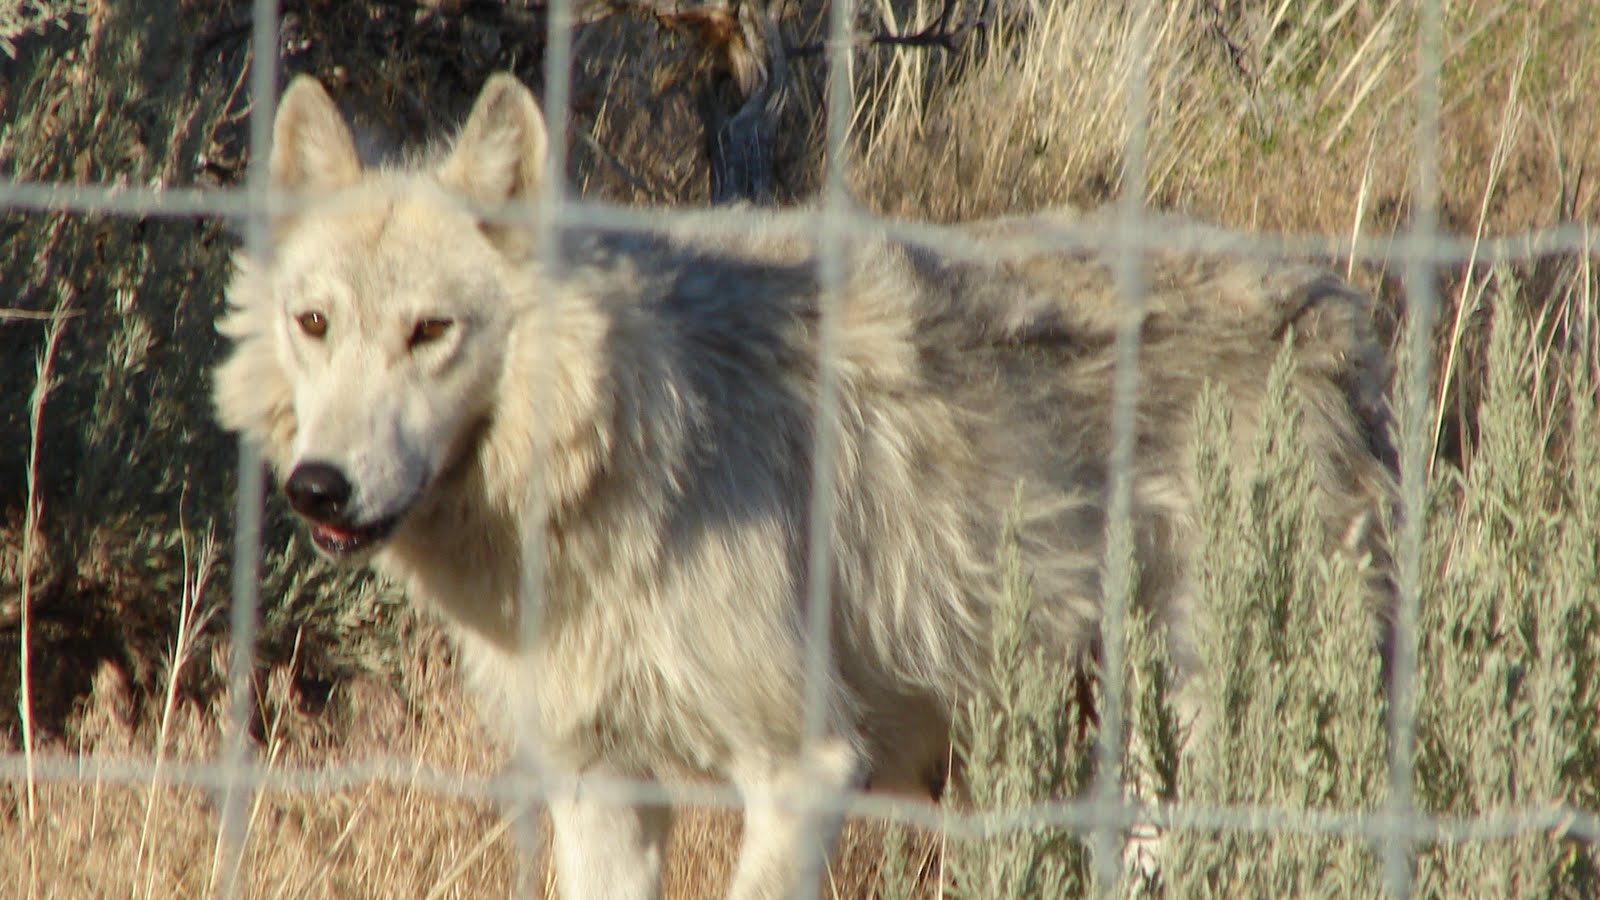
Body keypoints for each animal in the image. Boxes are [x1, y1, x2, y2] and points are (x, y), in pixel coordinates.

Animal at [213, 73, 1394, 899]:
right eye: (314, 323)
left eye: (430, 332)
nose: (319, 488)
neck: (630, 440)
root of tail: (1339, 303)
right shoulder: (600, 782)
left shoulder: (803, 768)